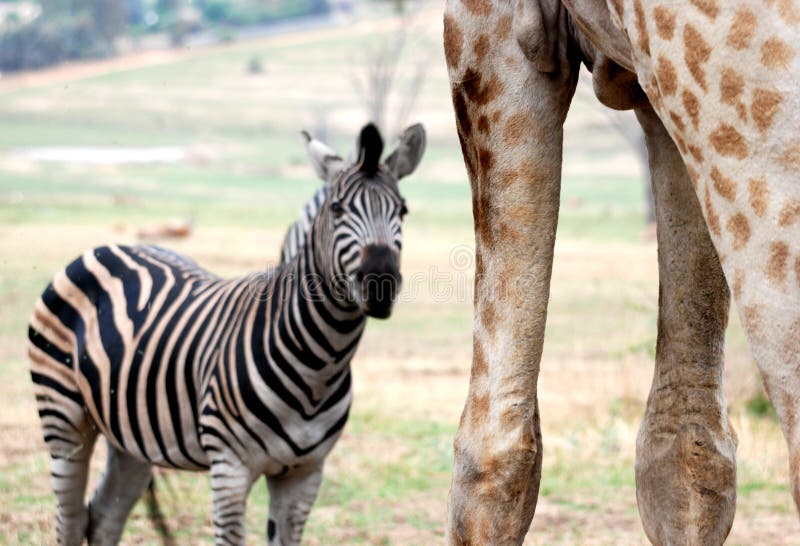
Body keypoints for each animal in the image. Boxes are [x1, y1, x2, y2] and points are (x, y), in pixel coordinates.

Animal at [26, 123, 424, 544]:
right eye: (337, 209)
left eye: (402, 210)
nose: (380, 282)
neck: (319, 362)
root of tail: (103, 248)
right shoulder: (230, 468)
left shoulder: (305, 473)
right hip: (64, 419)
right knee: (70, 519)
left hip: (131, 437)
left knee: (103, 517)